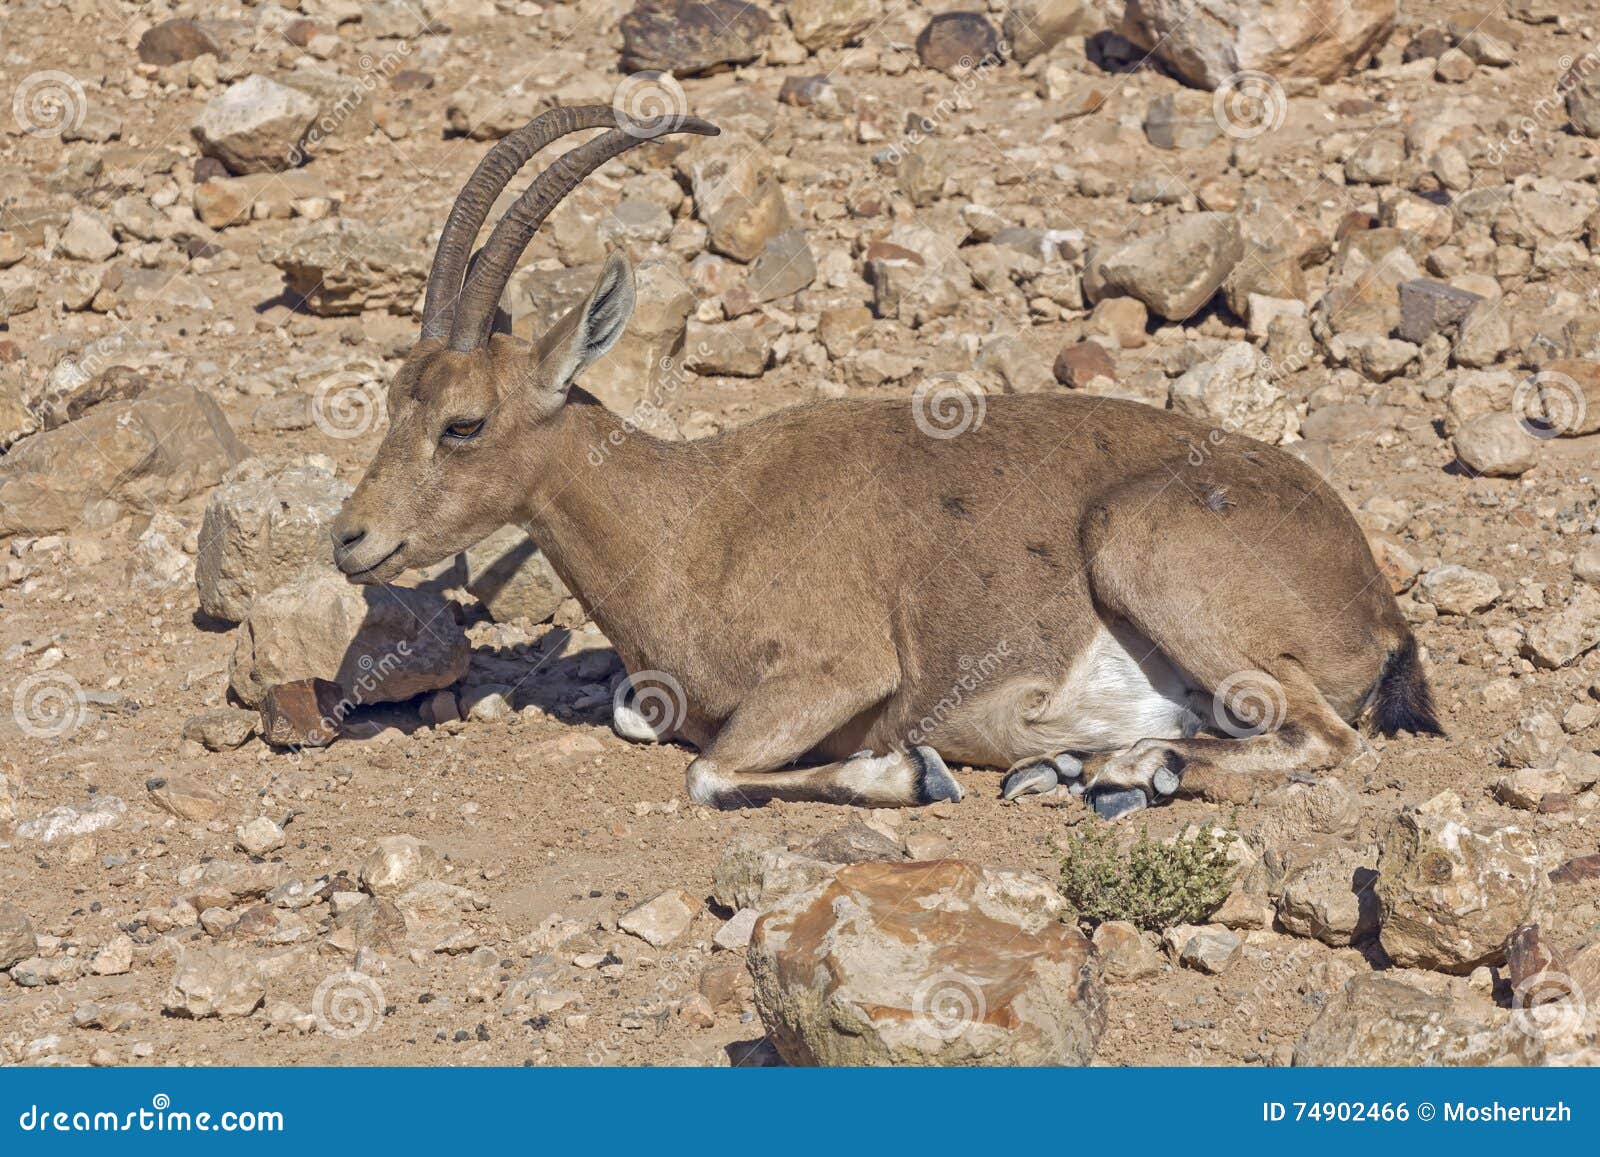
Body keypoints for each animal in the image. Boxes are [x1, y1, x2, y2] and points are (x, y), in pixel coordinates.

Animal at [330, 106, 1441, 821]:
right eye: (394, 395)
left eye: (464, 422)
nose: (350, 537)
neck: (689, 523)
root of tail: (1371, 603)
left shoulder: (837, 671)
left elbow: (709, 772)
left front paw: (913, 776)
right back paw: (1081, 766)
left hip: (1147, 555)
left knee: (1320, 738)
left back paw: (1127, 766)